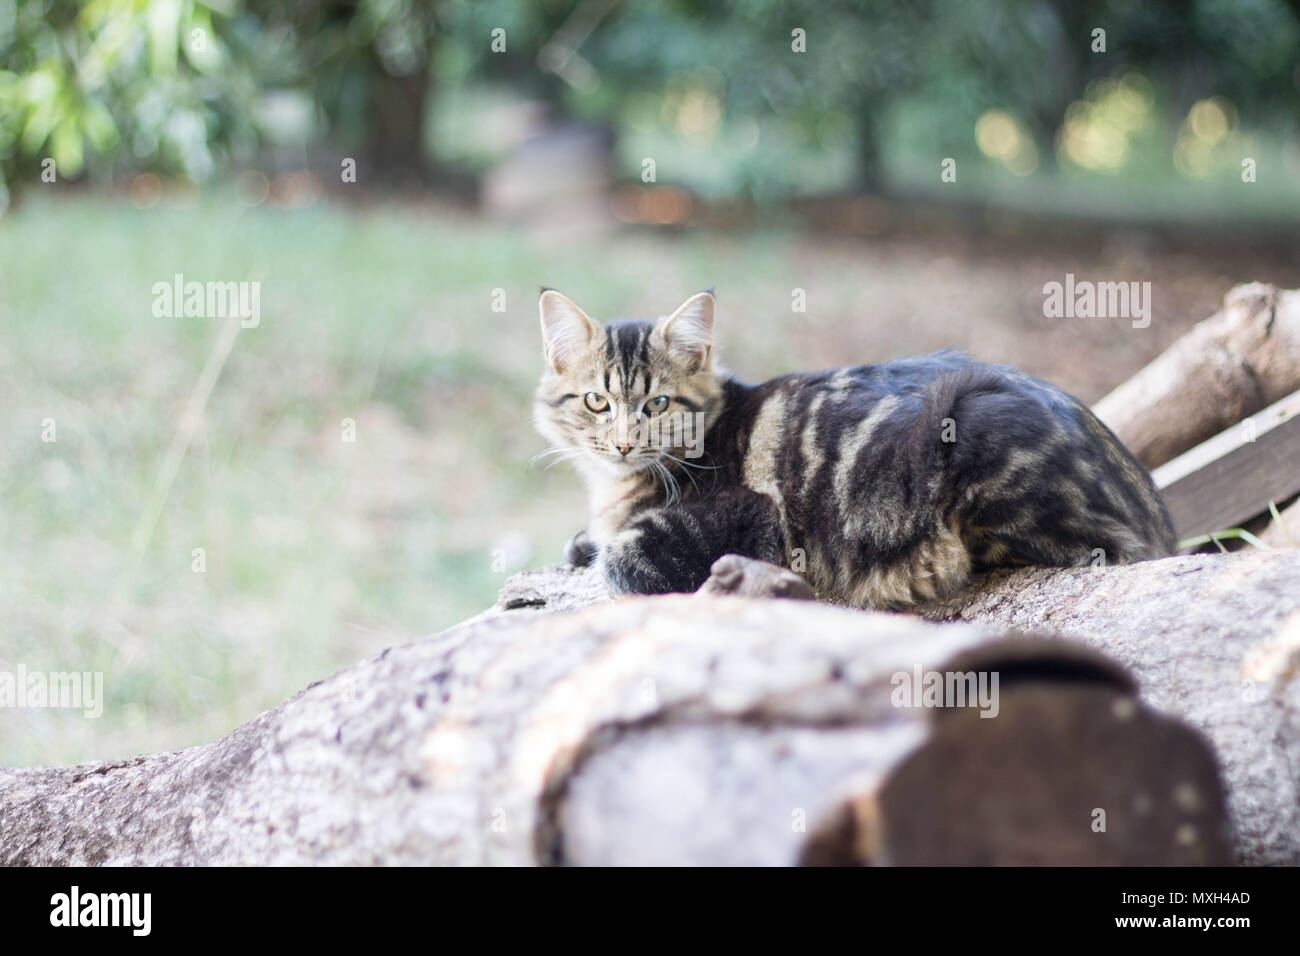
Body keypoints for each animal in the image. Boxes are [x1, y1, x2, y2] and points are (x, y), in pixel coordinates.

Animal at [533, 287, 1185, 608]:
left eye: (658, 405)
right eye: (597, 401)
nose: (623, 444)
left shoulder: (751, 519)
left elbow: (621, 564)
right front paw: (586, 539)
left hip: (969, 420)